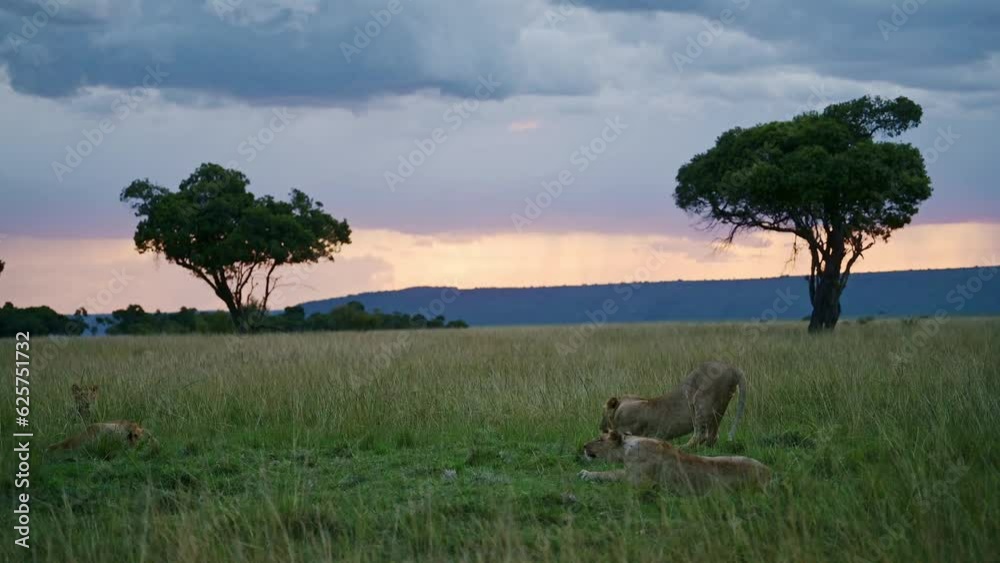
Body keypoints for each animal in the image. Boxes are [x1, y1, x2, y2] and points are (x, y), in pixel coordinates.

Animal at [579, 430, 771, 493]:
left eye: (600, 439)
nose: (583, 446)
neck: (627, 447)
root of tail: (768, 471)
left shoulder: (639, 482)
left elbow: (612, 475)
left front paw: (587, 476)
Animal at [599, 360, 747, 447]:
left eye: (603, 412)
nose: (600, 427)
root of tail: (733, 368)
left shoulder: (628, 424)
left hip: (700, 400)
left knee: (701, 434)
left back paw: (681, 448)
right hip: (718, 408)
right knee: (713, 436)